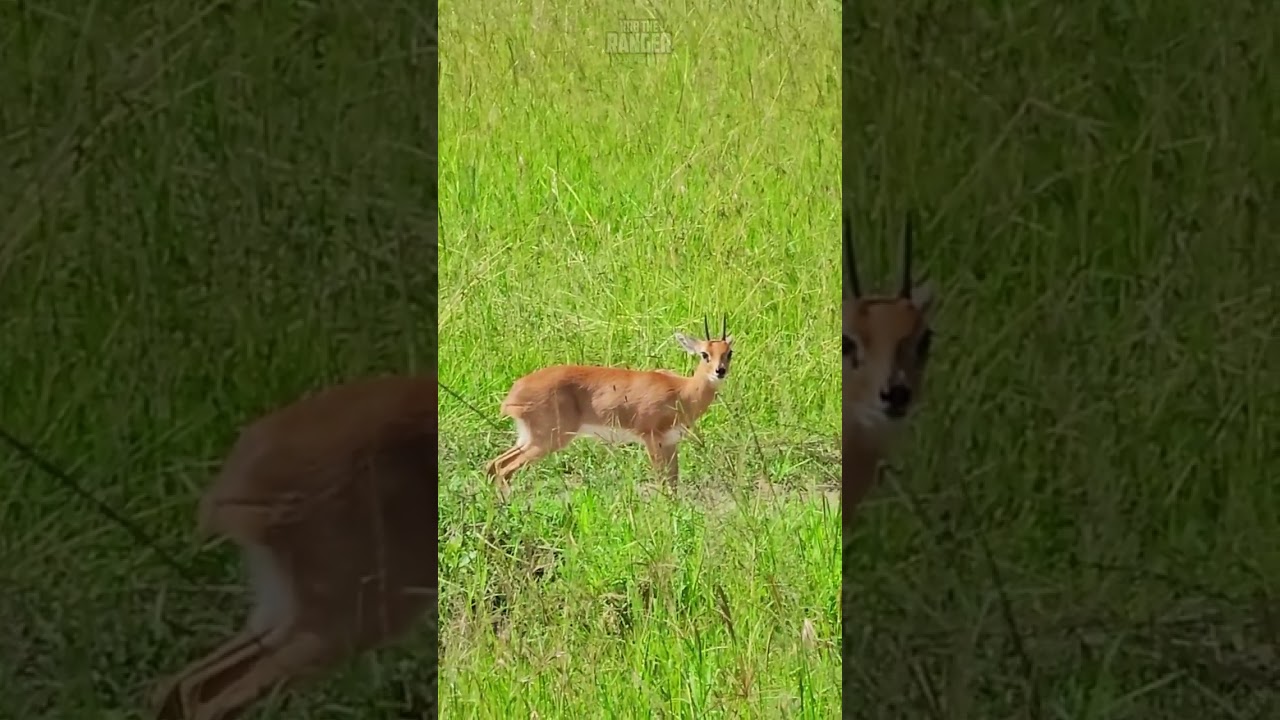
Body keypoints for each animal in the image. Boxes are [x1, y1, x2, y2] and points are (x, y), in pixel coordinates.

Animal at [485, 317, 735, 498]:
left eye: (729, 352)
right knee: (503, 468)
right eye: (704, 354)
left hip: (529, 438)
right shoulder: (652, 438)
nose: (720, 371)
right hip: (548, 439)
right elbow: (662, 481)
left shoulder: (671, 442)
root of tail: (512, 395)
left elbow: (673, 483)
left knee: (495, 464)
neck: (682, 391)